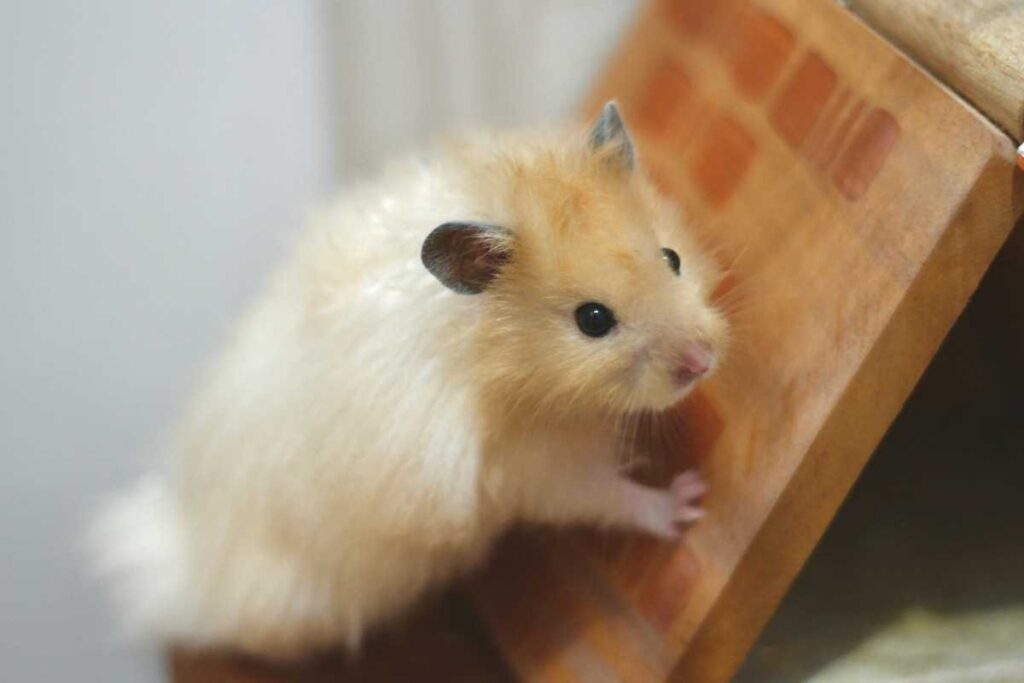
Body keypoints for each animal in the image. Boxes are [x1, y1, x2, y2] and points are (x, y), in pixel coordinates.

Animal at [92, 102, 729, 659]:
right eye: (592, 320)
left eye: (672, 258)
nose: (702, 362)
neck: (506, 364)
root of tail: (185, 563)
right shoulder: (532, 470)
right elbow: (610, 497)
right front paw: (688, 501)